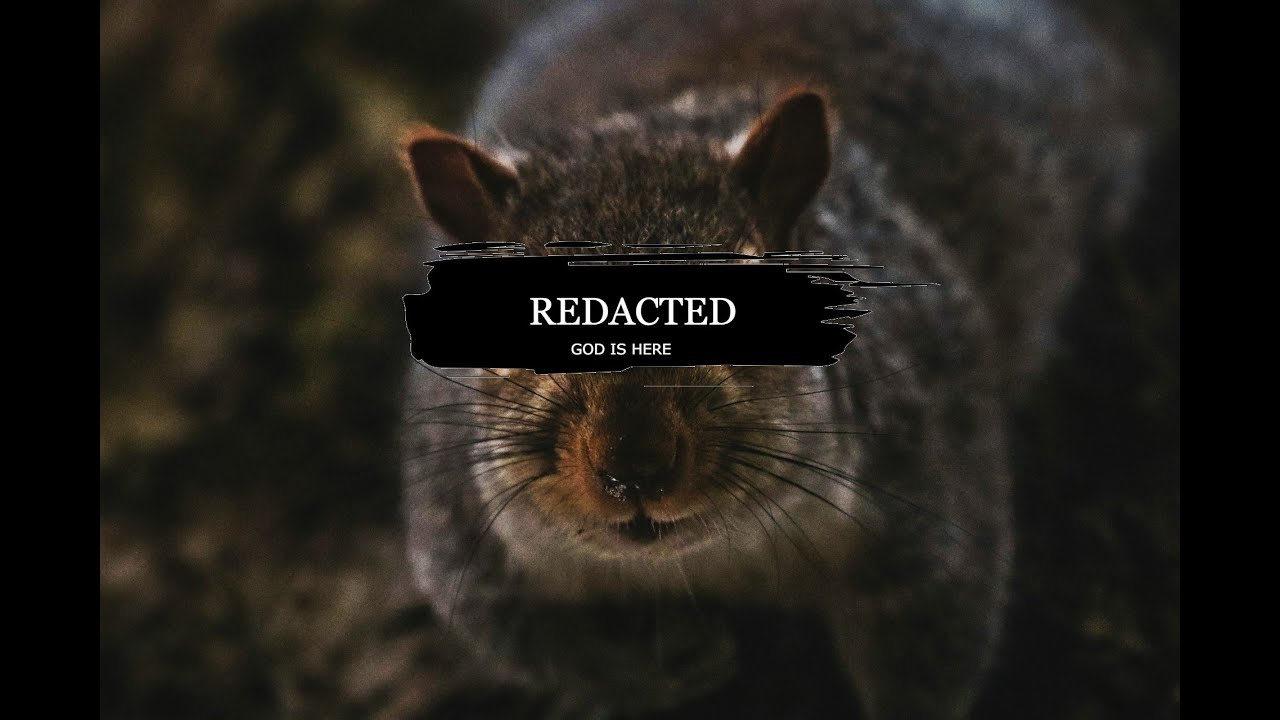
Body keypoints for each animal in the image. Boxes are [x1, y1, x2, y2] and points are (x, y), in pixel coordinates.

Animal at [399, 0, 1163, 717]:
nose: (633, 465)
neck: (719, 555)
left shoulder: (931, 468)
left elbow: (936, 635)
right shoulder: (460, 527)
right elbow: (526, 637)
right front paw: (667, 663)